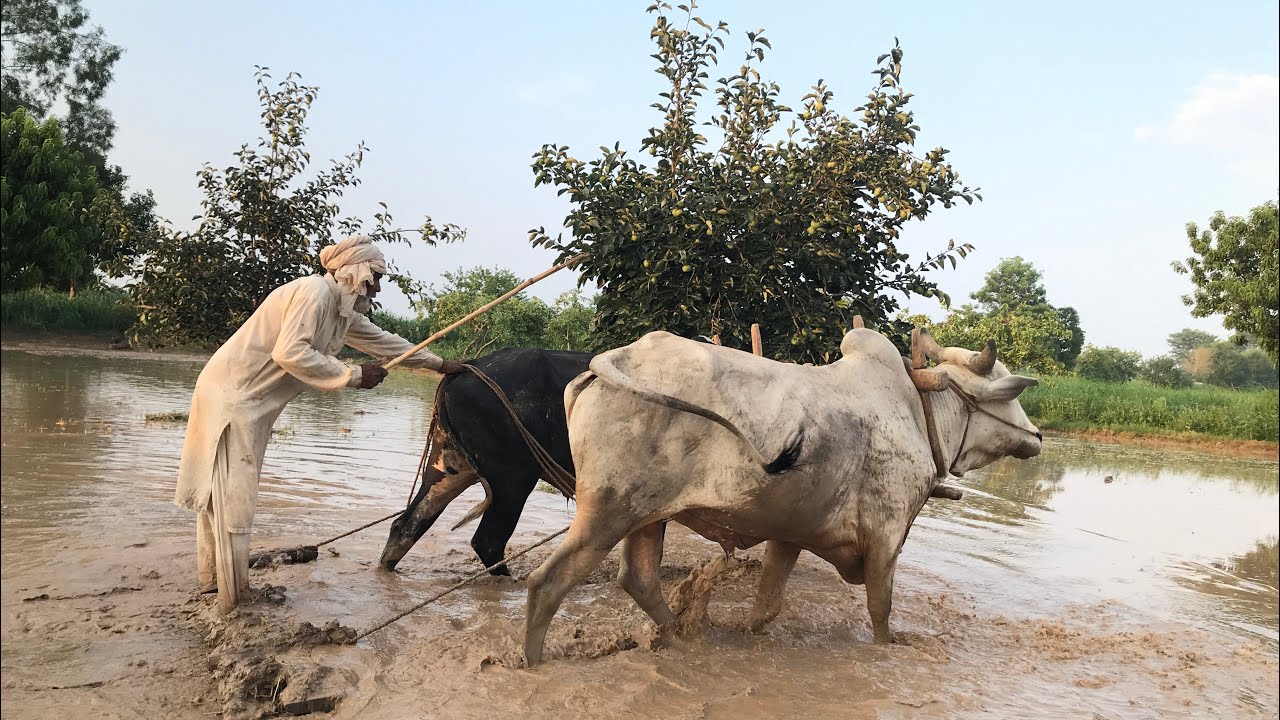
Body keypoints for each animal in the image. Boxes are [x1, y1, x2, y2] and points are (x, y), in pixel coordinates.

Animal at [521, 327, 1043, 665]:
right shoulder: (887, 537)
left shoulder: (791, 533)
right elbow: (880, 611)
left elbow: (766, 606)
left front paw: (749, 636)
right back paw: (534, 662)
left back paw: (683, 640)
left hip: (647, 514)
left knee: (639, 578)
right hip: (606, 511)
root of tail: (610, 363)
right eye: (1010, 394)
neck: (919, 413)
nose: (1037, 435)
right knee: (548, 582)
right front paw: (886, 650)